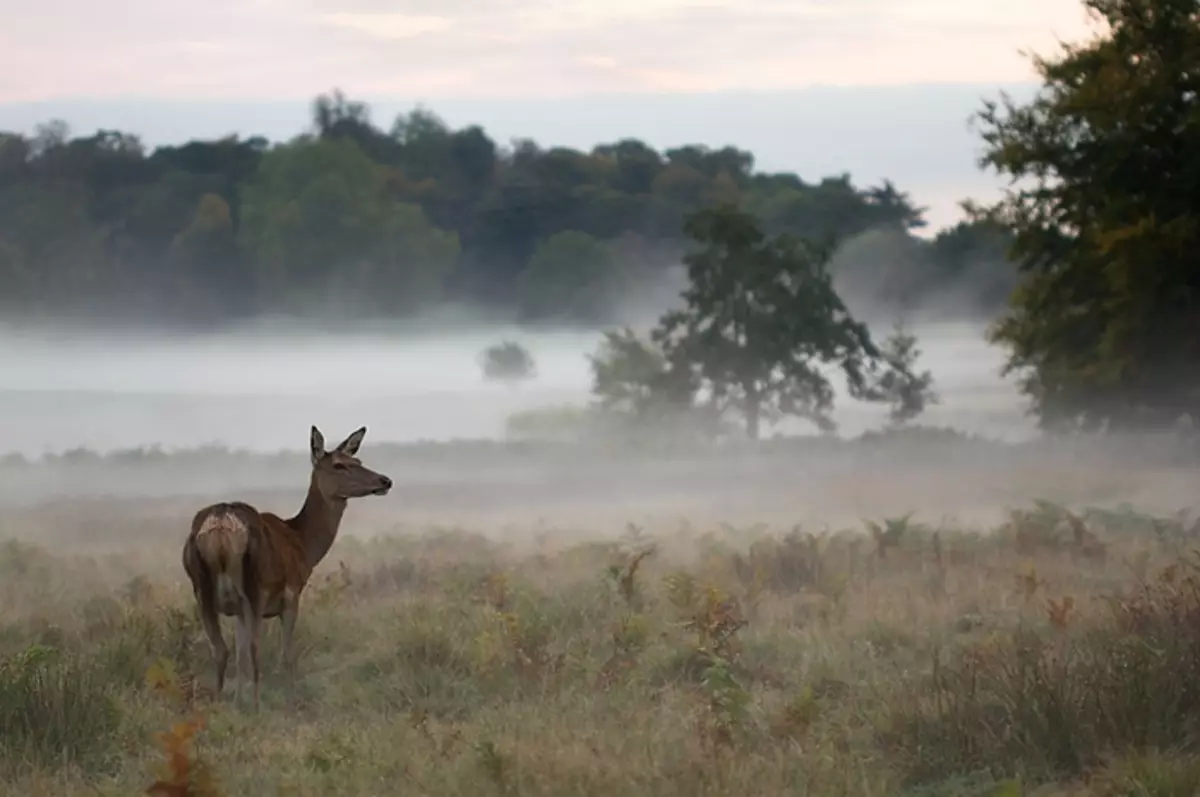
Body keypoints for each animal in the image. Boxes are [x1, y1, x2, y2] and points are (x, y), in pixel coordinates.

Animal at [180, 427, 393, 705]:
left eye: (357, 460)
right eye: (339, 464)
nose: (385, 481)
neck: (302, 542)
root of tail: (220, 524)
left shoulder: (238, 611)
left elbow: (239, 654)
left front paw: (237, 702)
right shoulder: (291, 594)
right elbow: (286, 655)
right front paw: (291, 701)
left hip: (201, 588)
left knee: (222, 650)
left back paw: (219, 703)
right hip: (254, 586)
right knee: (255, 649)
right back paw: (257, 706)